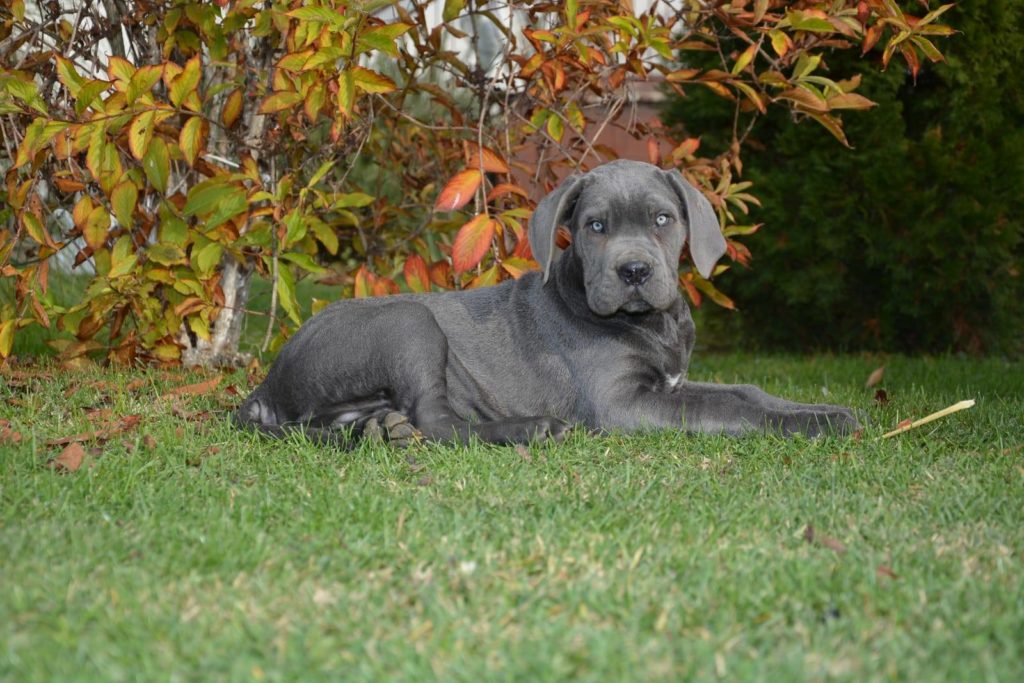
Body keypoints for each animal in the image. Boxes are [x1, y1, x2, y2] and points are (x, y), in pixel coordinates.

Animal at [235, 161, 860, 448]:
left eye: (663, 219)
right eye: (595, 226)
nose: (634, 271)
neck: (650, 323)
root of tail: (265, 384)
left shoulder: (671, 382)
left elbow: (745, 391)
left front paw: (824, 409)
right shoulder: (622, 404)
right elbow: (726, 408)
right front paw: (809, 423)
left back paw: (382, 428)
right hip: (408, 320)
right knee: (438, 422)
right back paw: (533, 428)